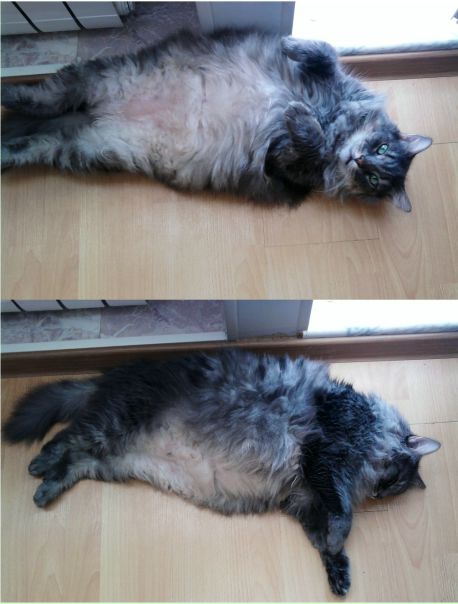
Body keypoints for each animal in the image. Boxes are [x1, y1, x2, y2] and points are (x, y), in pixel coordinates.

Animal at [1, 29, 432, 212]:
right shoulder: (332, 83)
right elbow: (324, 50)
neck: (336, 127)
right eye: (380, 148)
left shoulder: (283, 165)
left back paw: (5, 146)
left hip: (82, 146)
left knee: (33, 138)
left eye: (374, 178)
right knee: (39, 99)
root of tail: (98, 113)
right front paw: (290, 43)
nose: (358, 161)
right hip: (90, 83)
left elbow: (305, 138)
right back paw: (9, 96)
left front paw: (298, 114)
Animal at [2, 349, 441, 596]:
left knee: (75, 461)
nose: (382, 493)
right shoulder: (323, 459)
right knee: (66, 439)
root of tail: (108, 376)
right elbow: (342, 514)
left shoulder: (304, 496)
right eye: (394, 479)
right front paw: (340, 538)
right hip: (113, 425)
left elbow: (324, 539)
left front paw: (338, 571)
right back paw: (39, 466)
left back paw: (46, 487)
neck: (368, 428)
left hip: (114, 461)